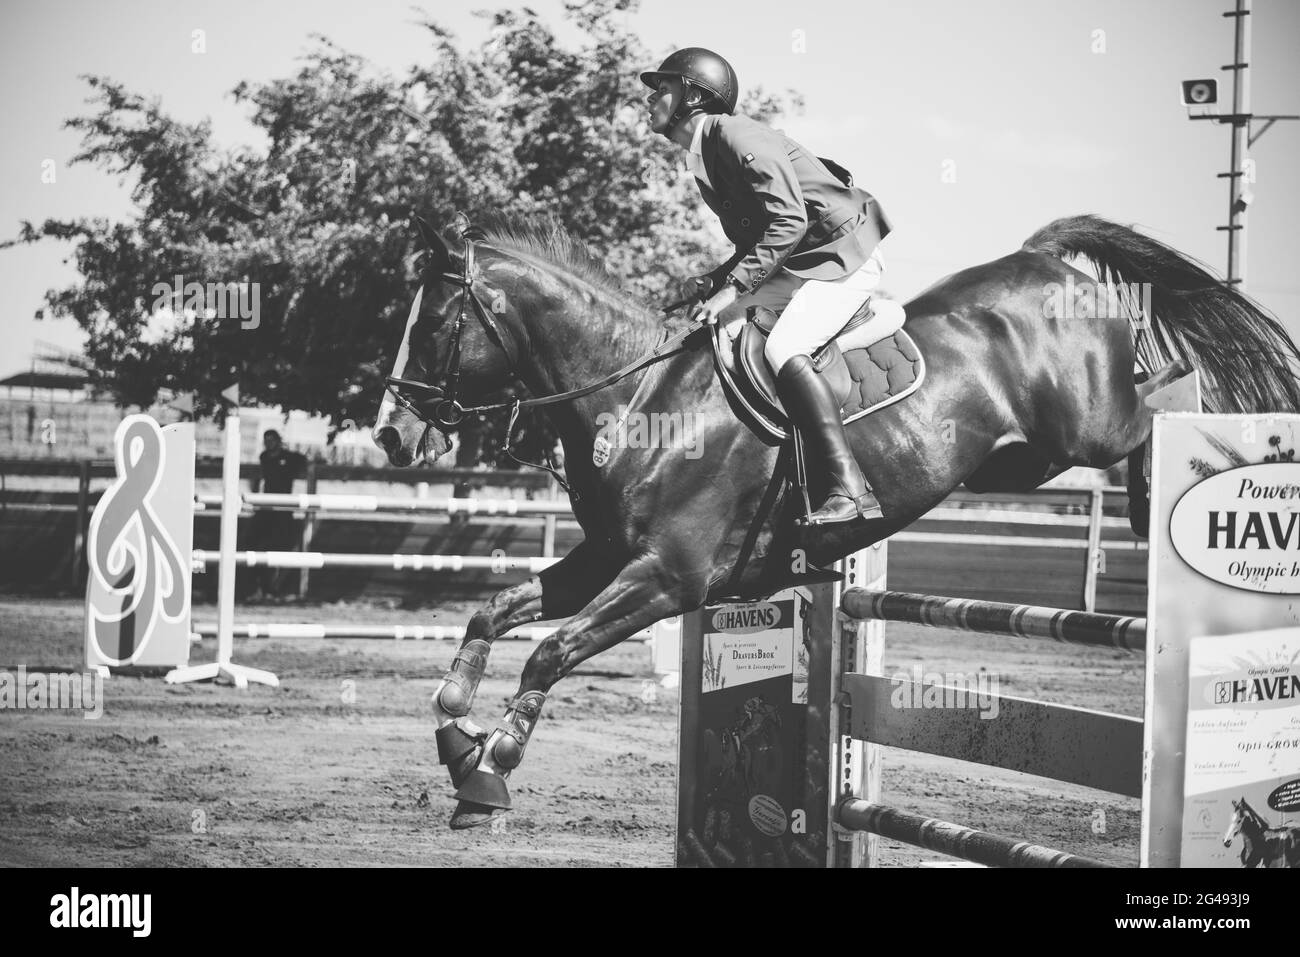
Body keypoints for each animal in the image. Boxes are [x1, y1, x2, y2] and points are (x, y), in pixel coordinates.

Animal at [373, 212, 1300, 829]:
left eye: (435, 323)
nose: (391, 435)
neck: (637, 397)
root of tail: (1041, 259)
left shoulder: (667, 578)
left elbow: (549, 653)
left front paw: (488, 772)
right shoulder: (604, 560)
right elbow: (494, 612)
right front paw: (453, 728)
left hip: (1086, 426)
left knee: (1162, 392)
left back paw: (1183, 470)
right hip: (1021, 457)